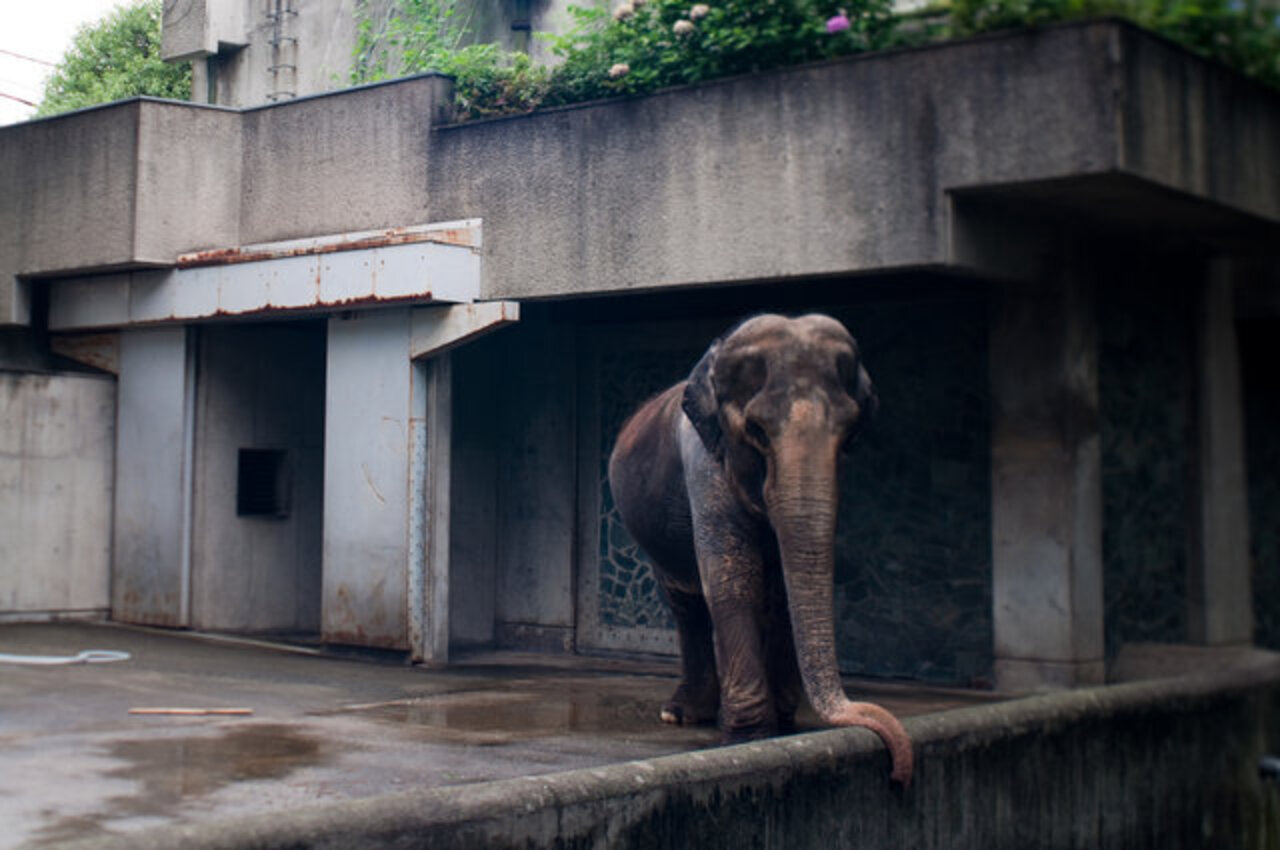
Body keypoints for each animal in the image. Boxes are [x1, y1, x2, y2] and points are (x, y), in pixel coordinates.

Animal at [608, 313, 912, 786]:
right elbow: (733, 580)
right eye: (756, 431)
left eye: (850, 435)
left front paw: (782, 726)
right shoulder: (703, 463)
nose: (899, 772)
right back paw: (683, 715)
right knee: (686, 603)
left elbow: (784, 583)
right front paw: (749, 738)